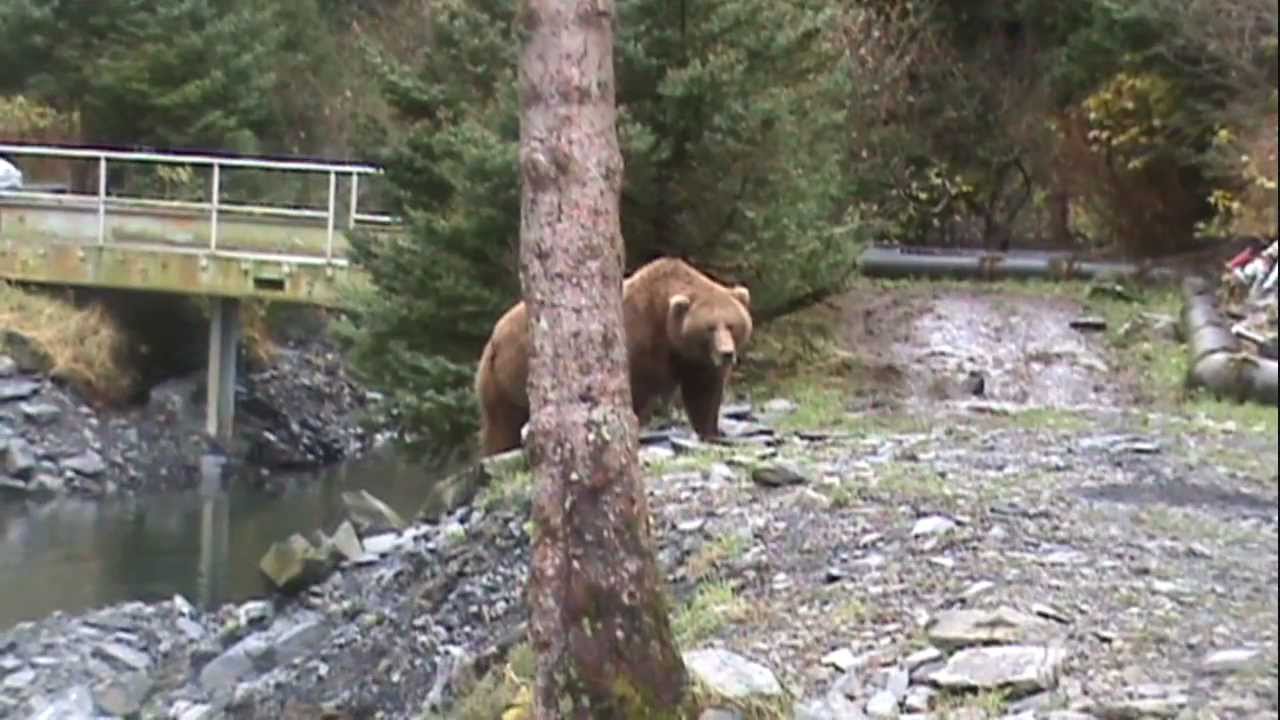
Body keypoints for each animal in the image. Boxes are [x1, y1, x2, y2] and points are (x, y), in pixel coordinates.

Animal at [474, 256, 754, 457]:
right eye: (709, 328)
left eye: (731, 325)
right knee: (501, 425)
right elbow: (633, 392)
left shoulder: (694, 361)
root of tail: (493, 336)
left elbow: (704, 392)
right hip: (504, 377)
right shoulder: (638, 343)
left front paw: (714, 432)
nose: (727, 353)